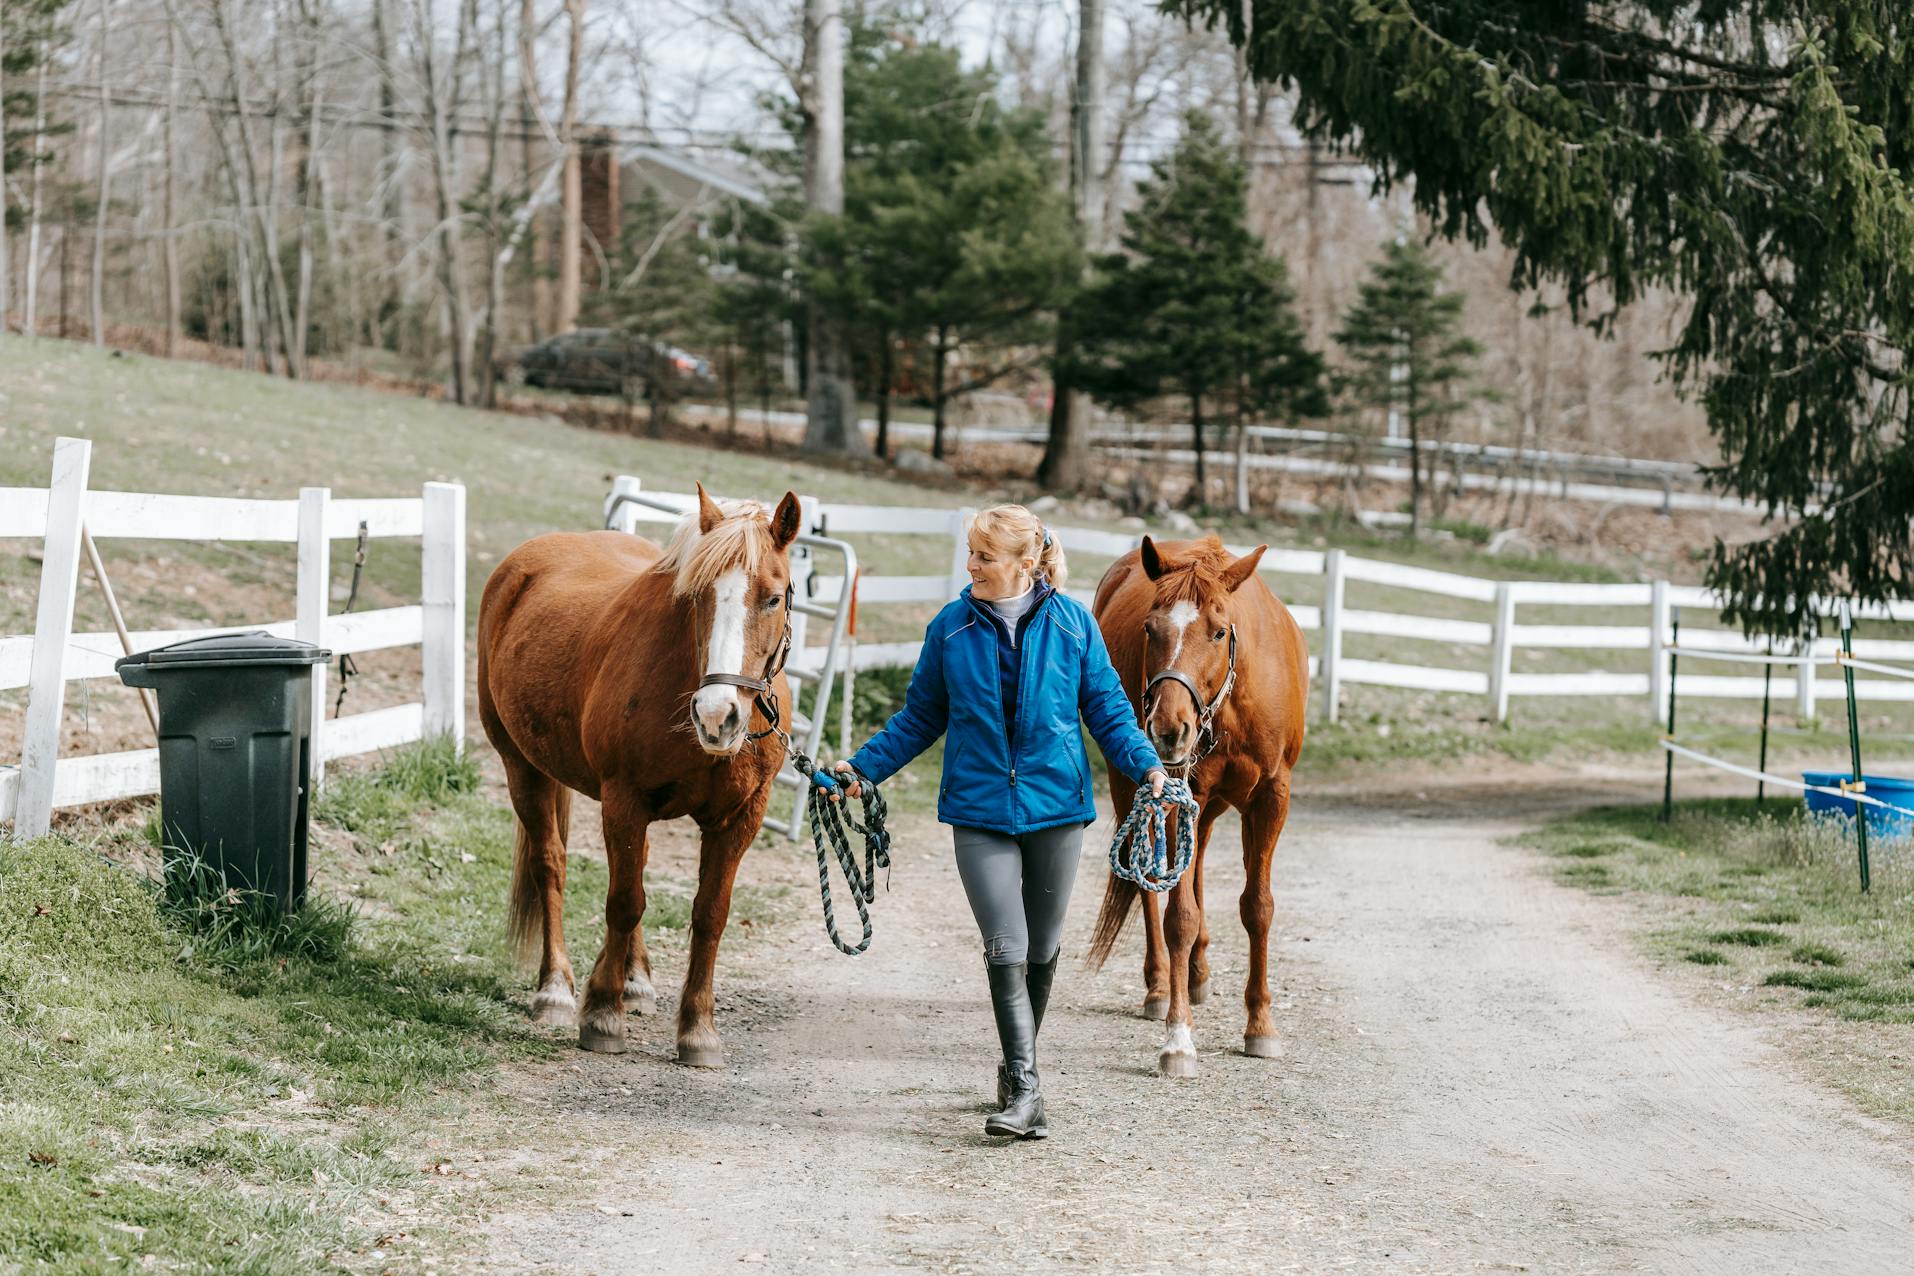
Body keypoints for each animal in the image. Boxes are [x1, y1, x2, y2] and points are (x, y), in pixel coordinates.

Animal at [476, 483, 801, 1066]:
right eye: (698, 596)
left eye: (774, 596)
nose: (717, 716)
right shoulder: (624, 801)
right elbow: (625, 903)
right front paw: (602, 1015)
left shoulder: (740, 817)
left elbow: (709, 915)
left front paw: (698, 1028)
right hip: (522, 768)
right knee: (551, 865)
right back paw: (556, 989)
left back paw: (635, 980)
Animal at [1086, 534, 1308, 1077]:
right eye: (1150, 628)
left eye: (1219, 631)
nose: (1168, 728)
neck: (1231, 703)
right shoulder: (1172, 788)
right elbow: (1179, 916)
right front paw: (1178, 1039)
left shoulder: (1272, 796)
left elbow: (1258, 907)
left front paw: (1261, 1024)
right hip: (1135, 787)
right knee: (1147, 881)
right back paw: (1161, 986)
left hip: (1205, 807)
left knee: (1200, 856)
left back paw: (1198, 971)